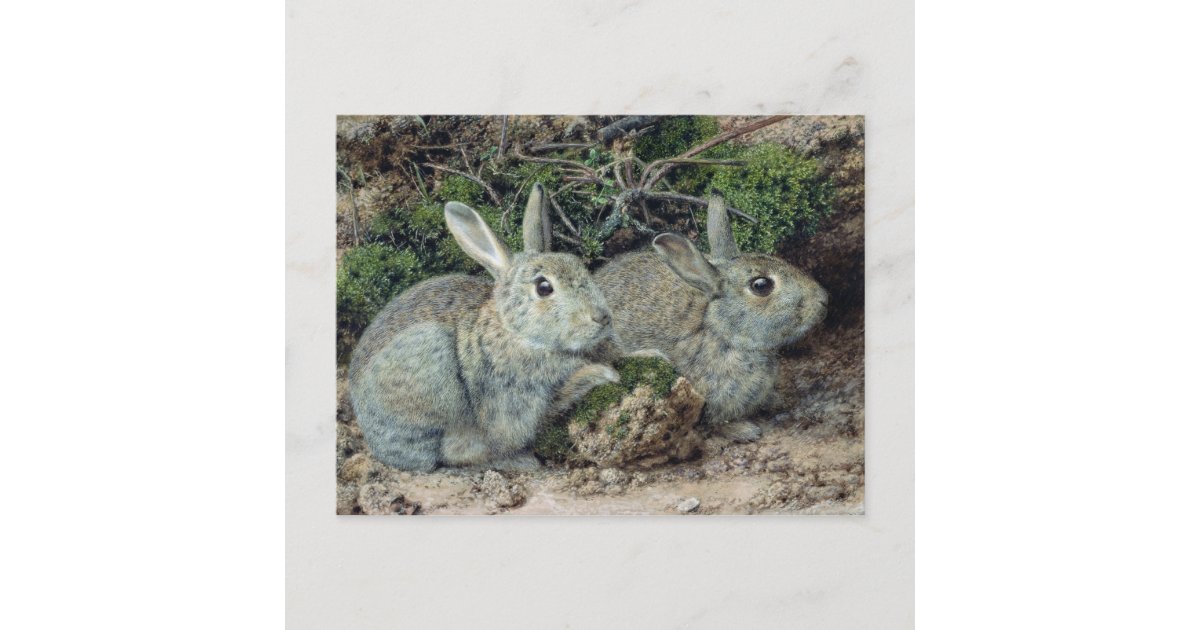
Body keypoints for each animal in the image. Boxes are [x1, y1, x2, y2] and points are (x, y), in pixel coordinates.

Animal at [348, 184, 618, 472]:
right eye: (544, 287)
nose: (602, 317)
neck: (515, 332)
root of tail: (374, 440)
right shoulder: (514, 399)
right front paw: (603, 375)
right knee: (454, 452)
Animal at [595, 193, 828, 442]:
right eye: (761, 285)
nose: (823, 300)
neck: (721, 331)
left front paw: (777, 400)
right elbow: (717, 425)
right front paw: (746, 431)